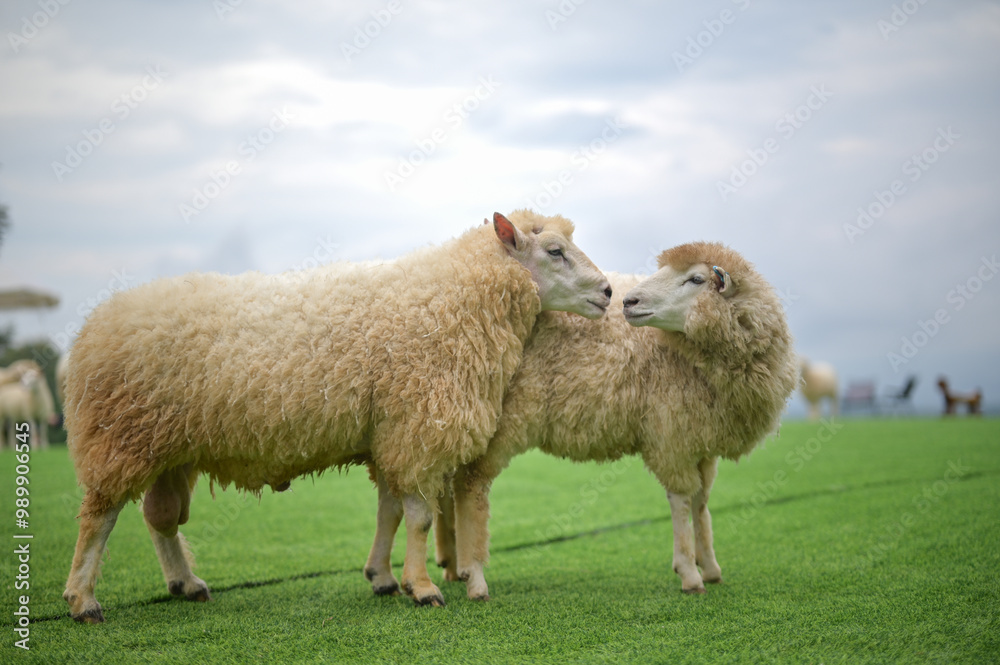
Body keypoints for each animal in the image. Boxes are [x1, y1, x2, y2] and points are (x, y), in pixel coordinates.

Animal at [62, 210, 612, 623]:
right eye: (555, 251)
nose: (607, 292)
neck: (451, 299)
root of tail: (91, 328)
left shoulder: (390, 430)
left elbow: (391, 512)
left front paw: (382, 577)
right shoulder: (415, 427)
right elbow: (419, 517)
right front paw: (422, 587)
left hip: (165, 444)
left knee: (159, 516)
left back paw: (185, 581)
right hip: (118, 434)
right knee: (99, 517)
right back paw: (84, 599)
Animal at [367, 241, 797, 600]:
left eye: (696, 279)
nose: (629, 300)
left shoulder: (701, 439)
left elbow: (701, 503)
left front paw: (709, 565)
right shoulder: (670, 432)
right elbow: (680, 501)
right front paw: (689, 573)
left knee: (446, 486)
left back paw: (452, 564)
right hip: (488, 422)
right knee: (469, 487)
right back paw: (474, 575)